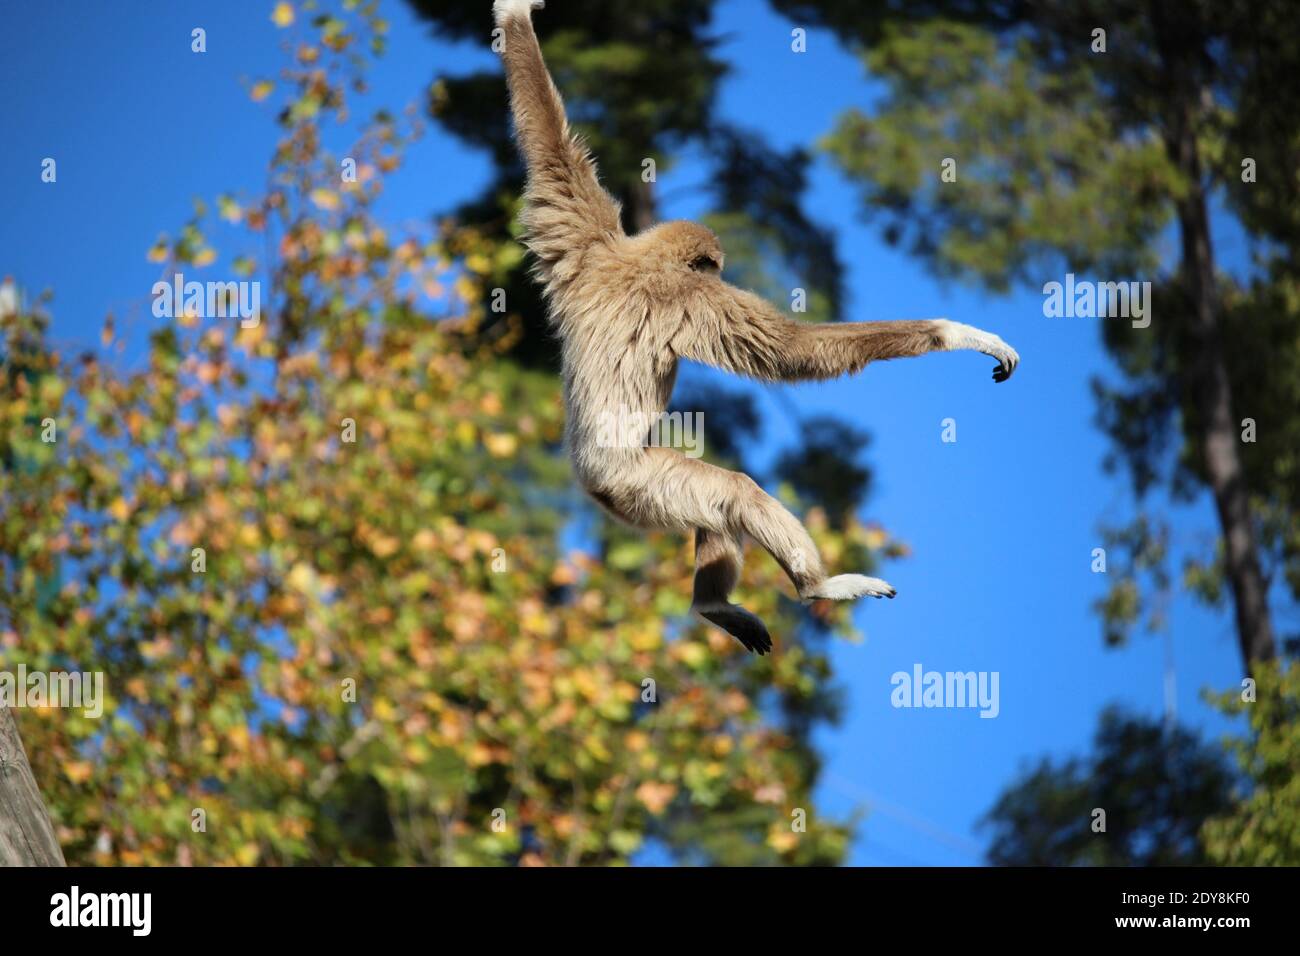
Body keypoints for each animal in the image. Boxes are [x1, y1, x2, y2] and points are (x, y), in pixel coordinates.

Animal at [493, 0, 1019, 654]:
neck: (642, 260)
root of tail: (590, 478)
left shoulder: (589, 244)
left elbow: (550, 151)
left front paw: (514, 17)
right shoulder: (697, 299)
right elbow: (790, 352)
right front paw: (958, 333)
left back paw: (713, 605)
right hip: (640, 483)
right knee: (737, 491)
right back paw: (817, 587)